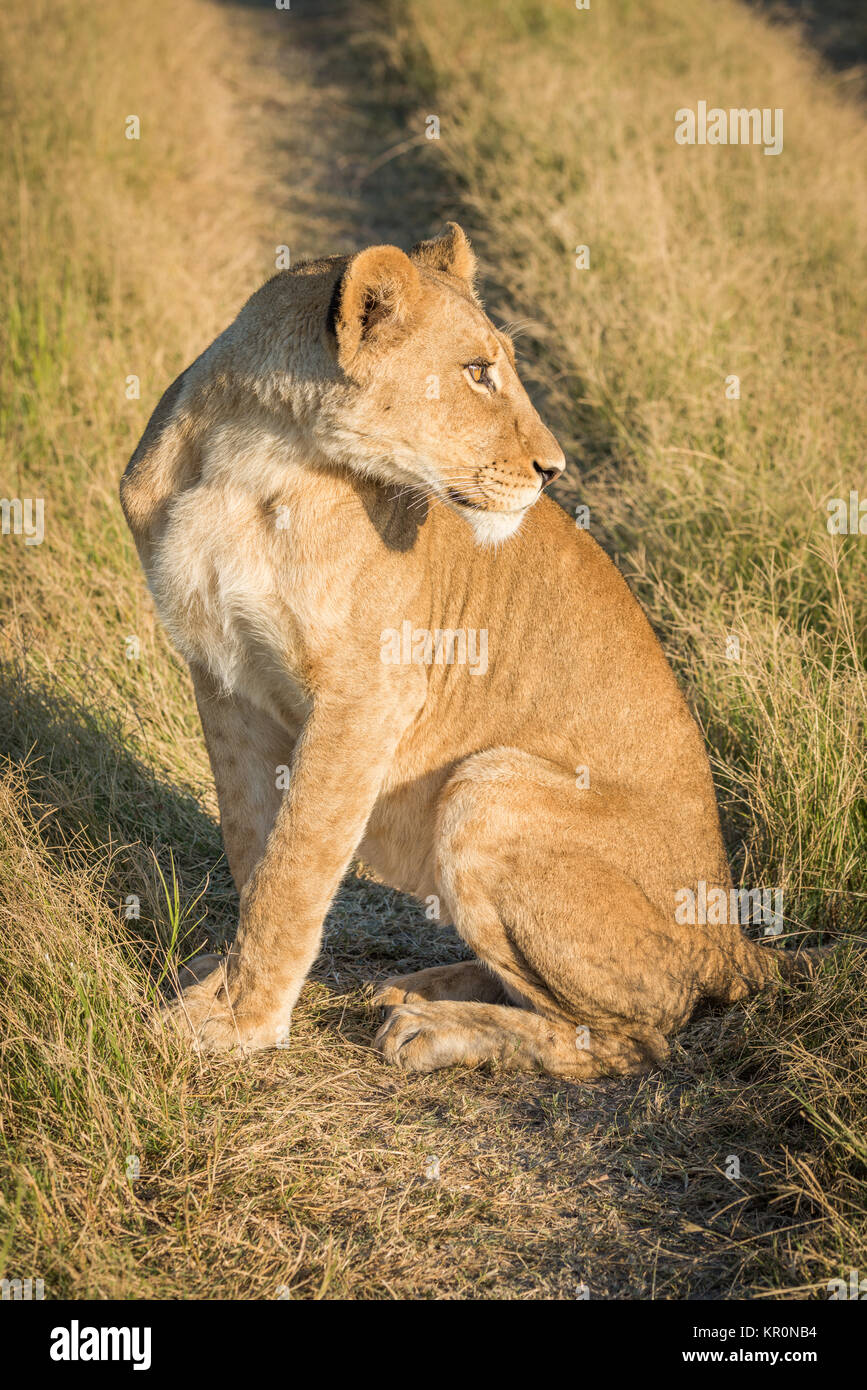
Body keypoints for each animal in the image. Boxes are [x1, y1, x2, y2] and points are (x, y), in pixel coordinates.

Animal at [120, 222, 818, 1076]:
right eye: (477, 373)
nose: (553, 469)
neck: (251, 461)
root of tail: (733, 938)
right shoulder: (224, 676)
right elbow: (253, 843)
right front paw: (223, 992)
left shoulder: (369, 692)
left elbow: (294, 864)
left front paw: (240, 1025)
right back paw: (417, 986)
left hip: (487, 785)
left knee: (634, 1035)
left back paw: (433, 1027)